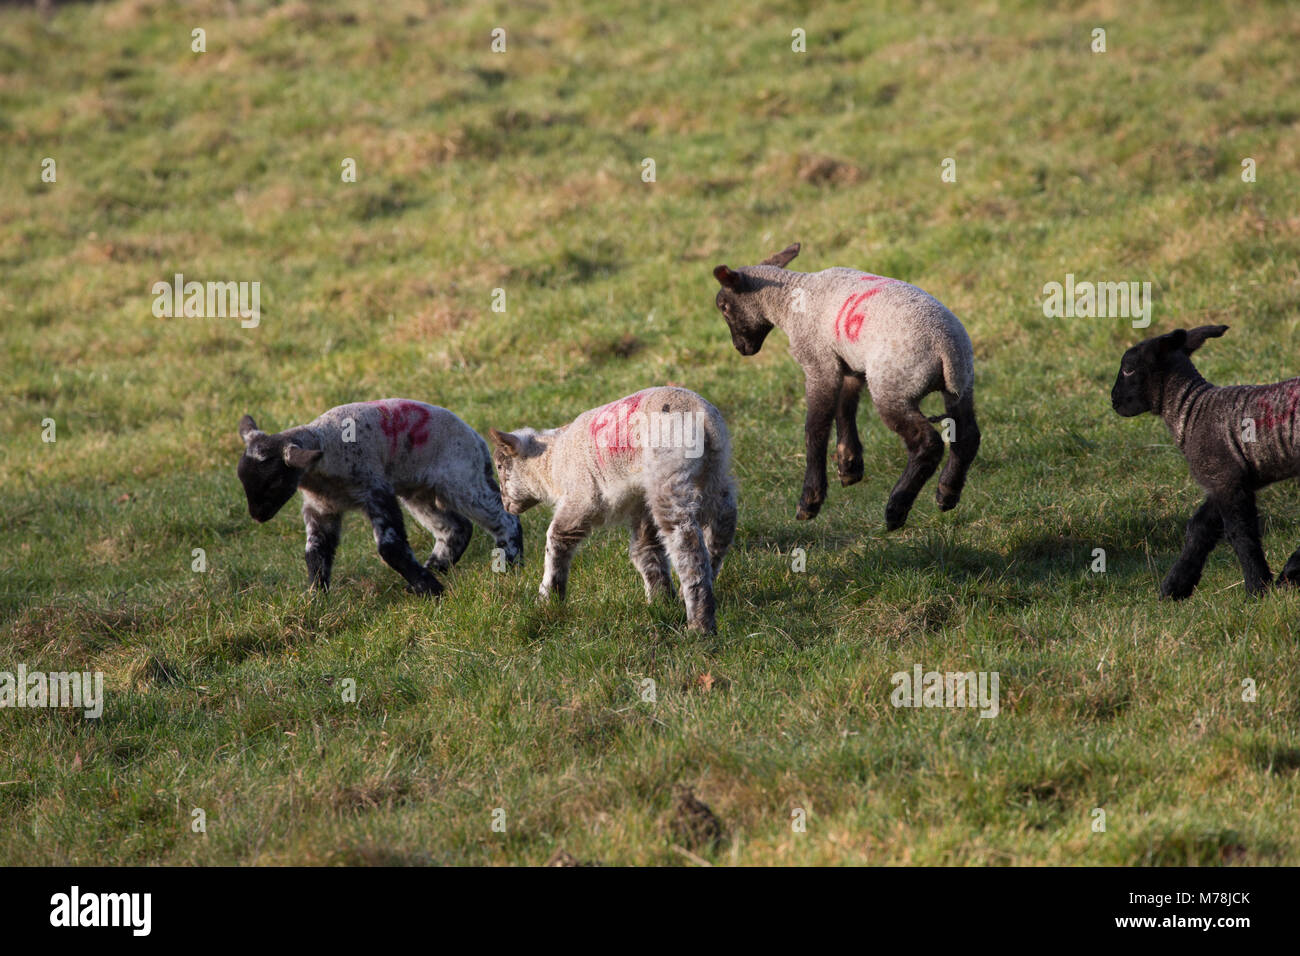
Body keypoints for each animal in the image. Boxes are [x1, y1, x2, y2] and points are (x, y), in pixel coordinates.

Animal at [236, 399, 523, 596]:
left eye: (274, 481)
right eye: (243, 481)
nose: (257, 516)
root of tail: (478, 440)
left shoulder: (375, 490)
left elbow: (390, 547)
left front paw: (432, 590)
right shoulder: (321, 509)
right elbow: (315, 551)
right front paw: (316, 596)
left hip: (462, 479)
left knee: (505, 518)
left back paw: (510, 561)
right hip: (418, 491)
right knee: (455, 528)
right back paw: (435, 567)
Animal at [488, 386, 737, 633]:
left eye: (499, 466)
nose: (505, 503)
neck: (552, 462)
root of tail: (703, 416)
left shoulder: (581, 499)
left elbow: (557, 540)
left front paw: (548, 599)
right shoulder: (640, 502)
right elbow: (645, 549)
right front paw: (661, 600)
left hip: (668, 474)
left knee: (687, 545)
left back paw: (699, 624)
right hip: (715, 472)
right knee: (723, 523)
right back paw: (708, 580)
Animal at [712, 242, 980, 530]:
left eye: (724, 307)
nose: (741, 348)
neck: (789, 300)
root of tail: (946, 346)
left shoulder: (819, 363)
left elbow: (815, 428)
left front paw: (810, 501)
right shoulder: (850, 363)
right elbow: (845, 408)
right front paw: (849, 465)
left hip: (893, 385)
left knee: (928, 443)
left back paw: (897, 508)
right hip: (961, 385)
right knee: (968, 437)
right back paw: (947, 493)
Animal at [1112, 324, 1300, 598]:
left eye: (1129, 368)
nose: (1113, 400)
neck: (1190, 410)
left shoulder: (1225, 480)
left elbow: (1240, 533)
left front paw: (1257, 588)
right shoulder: (1223, 480)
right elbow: (1199, 529)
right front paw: (1173, 589)